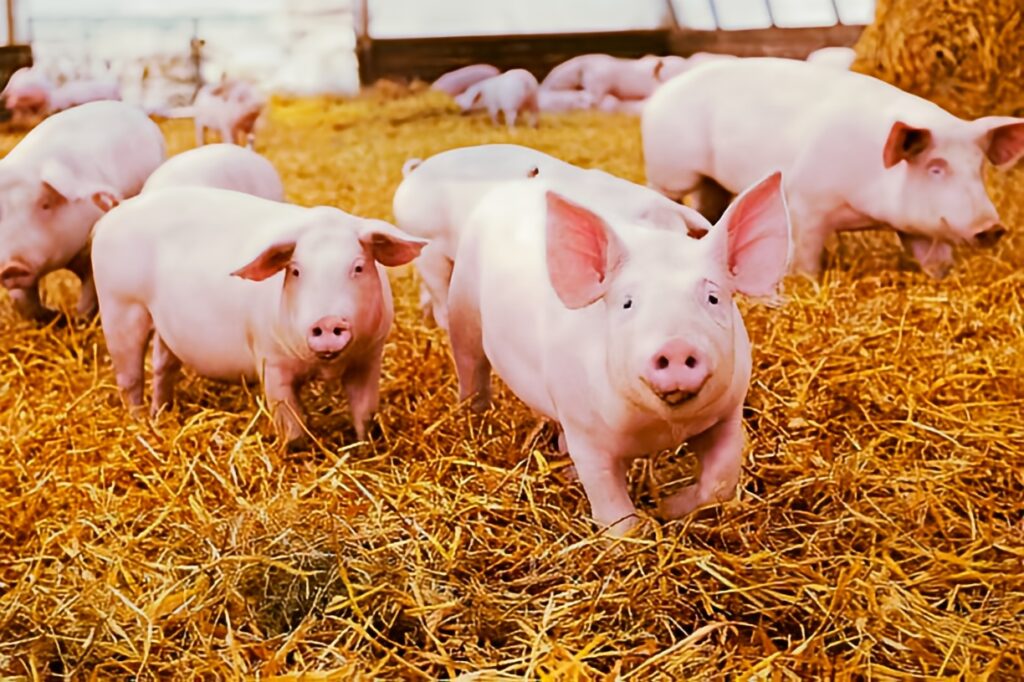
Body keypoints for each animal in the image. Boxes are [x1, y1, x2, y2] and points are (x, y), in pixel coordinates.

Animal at [0, 100, 166, 322]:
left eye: (45, 204)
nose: (10, 267)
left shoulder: (90, 252)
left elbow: (89, 291)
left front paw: (80, 319)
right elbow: (24, 301)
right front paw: (51, 315)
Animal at [91, 187, 426, 444]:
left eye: (358, 267)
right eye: (296, 271)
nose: (327, 321)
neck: (324, 367)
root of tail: (114, 213)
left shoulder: (369, 356)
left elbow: (365, 412)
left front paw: (365, 448)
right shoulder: (269, 358)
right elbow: (291, 421)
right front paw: (298, 451)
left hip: (165, 325)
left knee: (163, 365)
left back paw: (160, 415)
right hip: (120, 307)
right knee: (130, 377)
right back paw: (139, 424)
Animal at [446, 172, 789, 534]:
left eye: (713, 297)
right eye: (627, 303)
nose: (676, 346)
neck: (662, 429)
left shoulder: (730, 411)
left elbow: (720, 481)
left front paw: (668, 508)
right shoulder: (586, 433)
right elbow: (613, 508)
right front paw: (636, 531)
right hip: (463, 309)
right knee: (472, 371)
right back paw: (474, 420)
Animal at [643, 57, 1024, 278]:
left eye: (979, 168)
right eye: (935, 168)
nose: (992, 227)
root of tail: (663, 90)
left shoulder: (918, 226)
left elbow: (934, 257)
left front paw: (944, 276)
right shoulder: (806, 203)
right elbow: (806, 256)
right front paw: (804, 281)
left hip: (711, 181)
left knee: (709, 204)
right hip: (670, 171)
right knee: (665, 195)